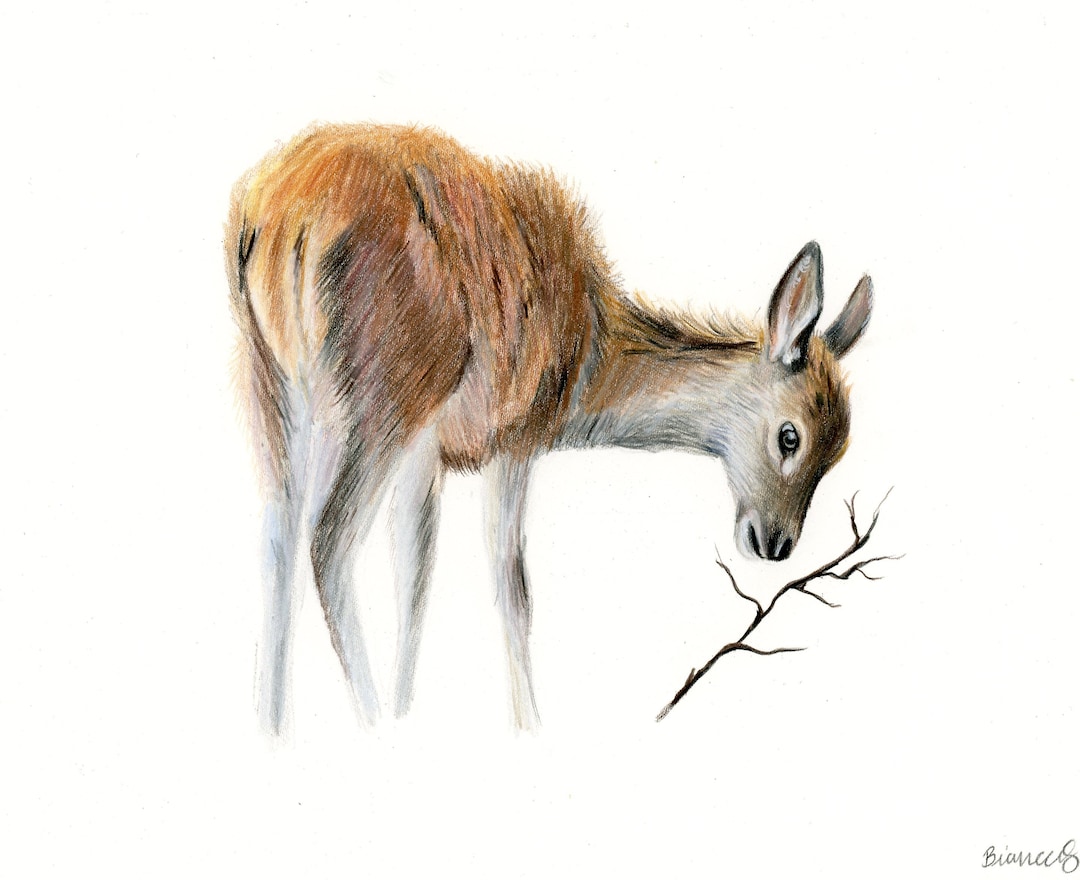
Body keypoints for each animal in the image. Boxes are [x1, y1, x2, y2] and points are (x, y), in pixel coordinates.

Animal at [226, 123, 873, 736]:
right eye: (791, 435)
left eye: (838, 452)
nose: (775, 543)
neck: (591, 359)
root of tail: (279, 216)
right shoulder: (514, 438)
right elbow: (511, 588)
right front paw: (523, 722)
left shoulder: (427, 453)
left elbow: (414, 575)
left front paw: (408, 709)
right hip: (382, 401)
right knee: (329, 539)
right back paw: (366, 719)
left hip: (273, 388)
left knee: (277, 542)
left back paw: (274, 722)